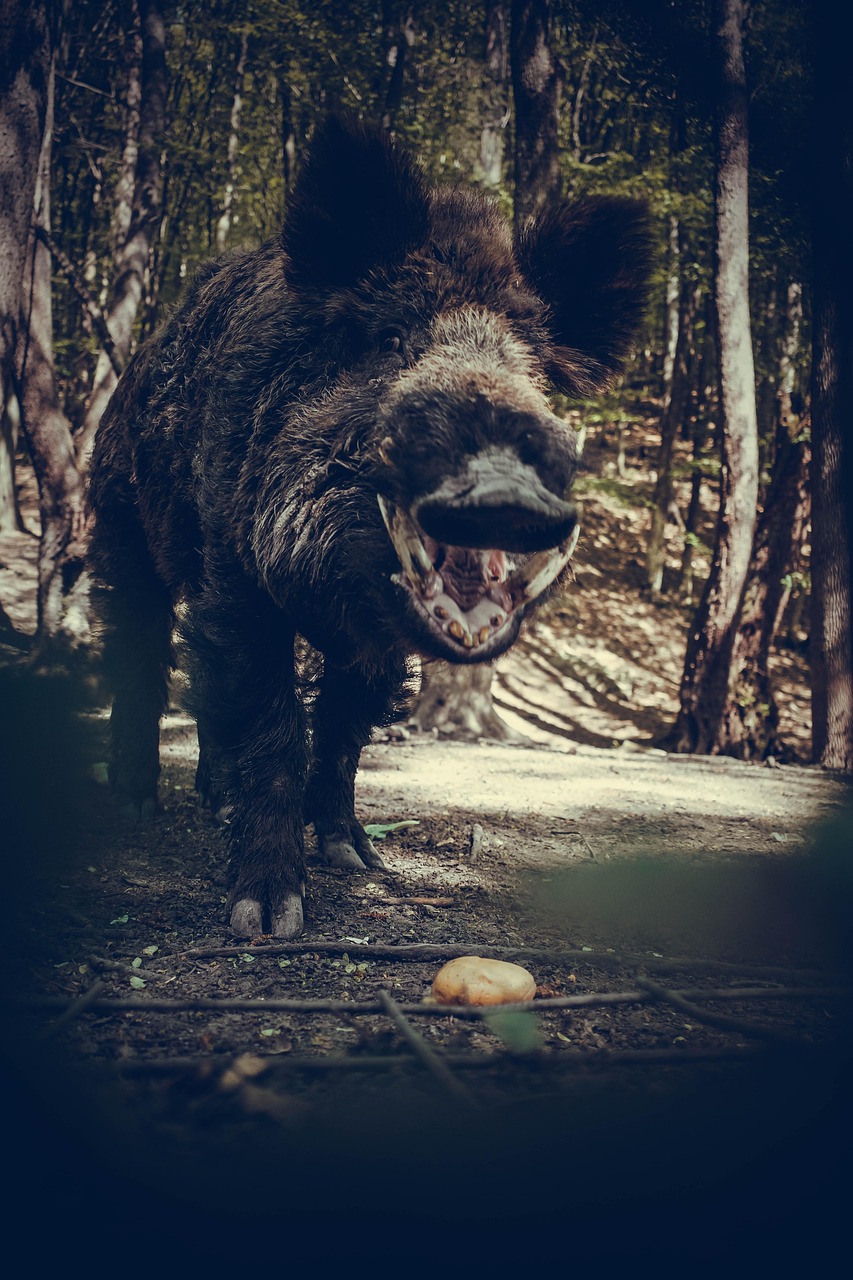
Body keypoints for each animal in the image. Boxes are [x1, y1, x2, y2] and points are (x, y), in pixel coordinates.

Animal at [87, 116, 651, 938]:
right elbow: (275, 726)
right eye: (392, 341)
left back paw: (215, 806)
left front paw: (357, 859)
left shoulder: (379, 643)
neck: (342, 600)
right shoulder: (234, 578)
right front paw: (268, 919)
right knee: (140, 654)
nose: (505, 481)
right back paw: (134, 807)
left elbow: (345, 725)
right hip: (119, 524)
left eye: (535, 371)